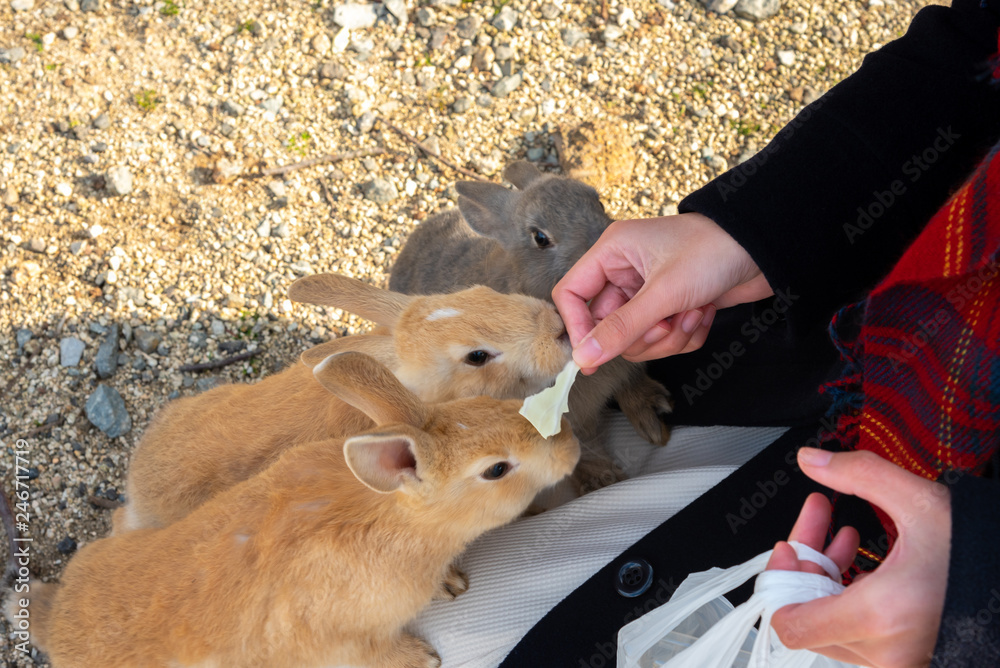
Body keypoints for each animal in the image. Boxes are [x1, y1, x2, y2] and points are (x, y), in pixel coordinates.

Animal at [6, 352, 581, 668]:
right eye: (497, 470)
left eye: (486, 406)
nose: (571, 448)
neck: (399, 517)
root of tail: (54, 619)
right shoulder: (339, 642)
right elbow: (372, 654)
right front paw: (423, 659)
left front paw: (452, 584)